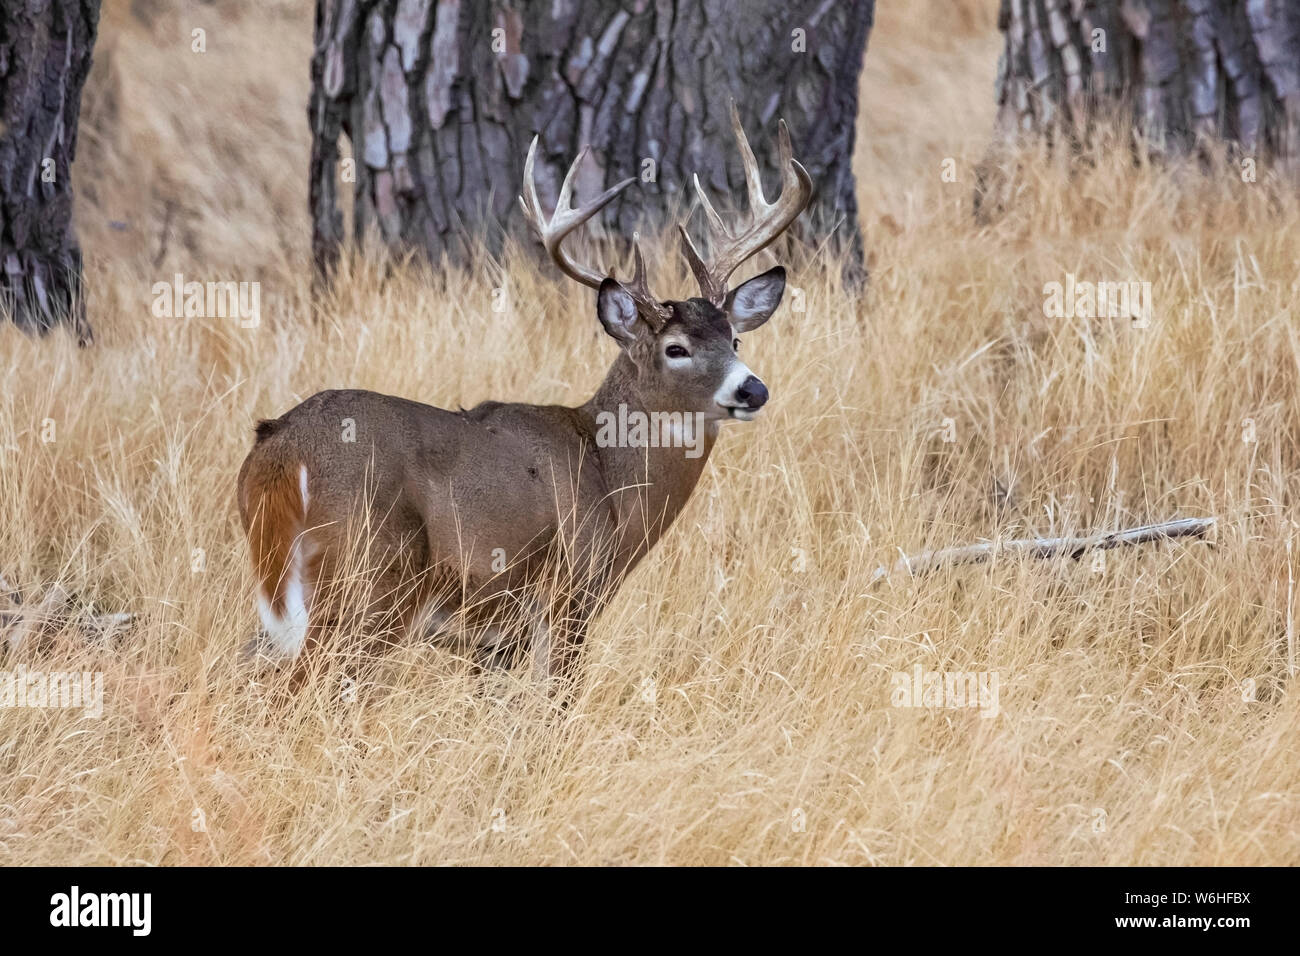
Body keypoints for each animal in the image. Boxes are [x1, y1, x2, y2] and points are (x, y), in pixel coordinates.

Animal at [236, 104, 812, 690]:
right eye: (676, 348)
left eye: (735, 339)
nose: (753, 388)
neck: (609, 474)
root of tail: (280, 450)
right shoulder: (568, 594)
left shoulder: (495, 639)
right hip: (367, 582)